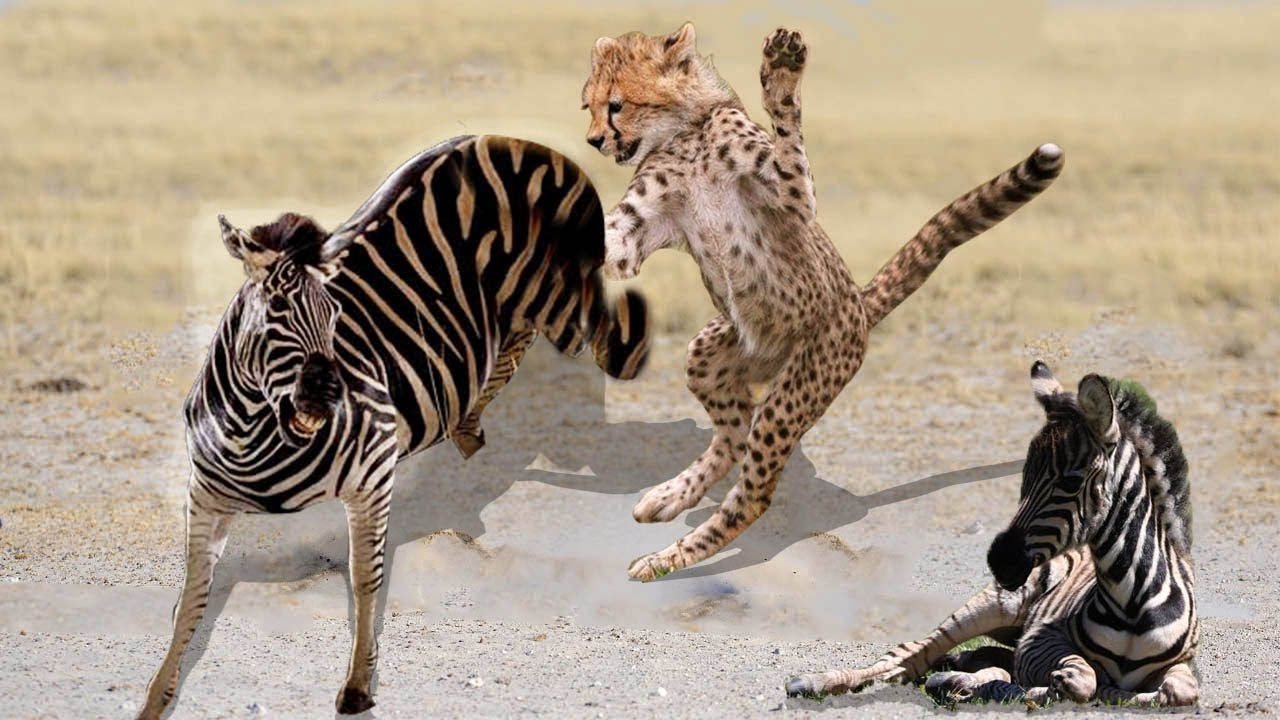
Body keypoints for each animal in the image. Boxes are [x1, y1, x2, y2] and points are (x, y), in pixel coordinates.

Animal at [137, 135, 650, 718]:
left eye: (335, 318)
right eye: (276, 314)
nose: (330, 398)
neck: (254, 436)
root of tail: (525, 143)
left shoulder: (372, 478)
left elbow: (366, 578)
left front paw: (359, 686)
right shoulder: (203, 498)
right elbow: (190, 599)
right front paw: (157, 695)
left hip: (557, 304)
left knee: (599, 328)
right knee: (517, 340)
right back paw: (467, 424)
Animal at [582, 23, 1064, 580]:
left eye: (617, 105)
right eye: (588, 105)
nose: (594, 140)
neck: (685, 135)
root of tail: (858, 304)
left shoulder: (792, 196)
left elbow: (788, 142)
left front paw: (782, 74)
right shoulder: (631, 238)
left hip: (794, 391)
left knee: (753, 492)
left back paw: (669, 559)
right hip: (710, 352)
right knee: (733, 437)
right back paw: (670, 499)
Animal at [786, 361, 1199, 707]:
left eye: (1070, 482)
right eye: (1024, 477)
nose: (999, 561)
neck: (1132, 604)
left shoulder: (1184, 664)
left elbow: (1178, 691)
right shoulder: (1041, 640)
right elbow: (1078, 681)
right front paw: (1016, 688)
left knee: (972, 658)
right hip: (989, 606)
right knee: (908, 657)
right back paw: (814, 681)